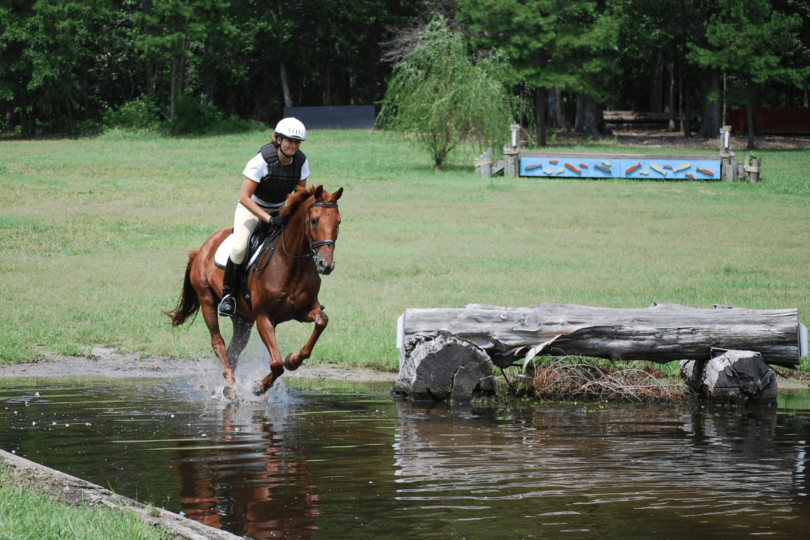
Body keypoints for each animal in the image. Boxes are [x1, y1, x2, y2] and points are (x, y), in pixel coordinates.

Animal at [167, 185, 343, 398]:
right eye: (314, 220)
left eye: (338, 222)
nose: (326, 265)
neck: (291, 264)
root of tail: (203, 248)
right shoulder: (263, 316)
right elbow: (276, 363)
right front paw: (258, 386)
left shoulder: (302, 310)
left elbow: (321, 321)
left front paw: (293, 360)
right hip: (207, 298)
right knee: (218, 342)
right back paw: (230, 385)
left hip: (243, 318)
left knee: (234, 350)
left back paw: (228, 382)